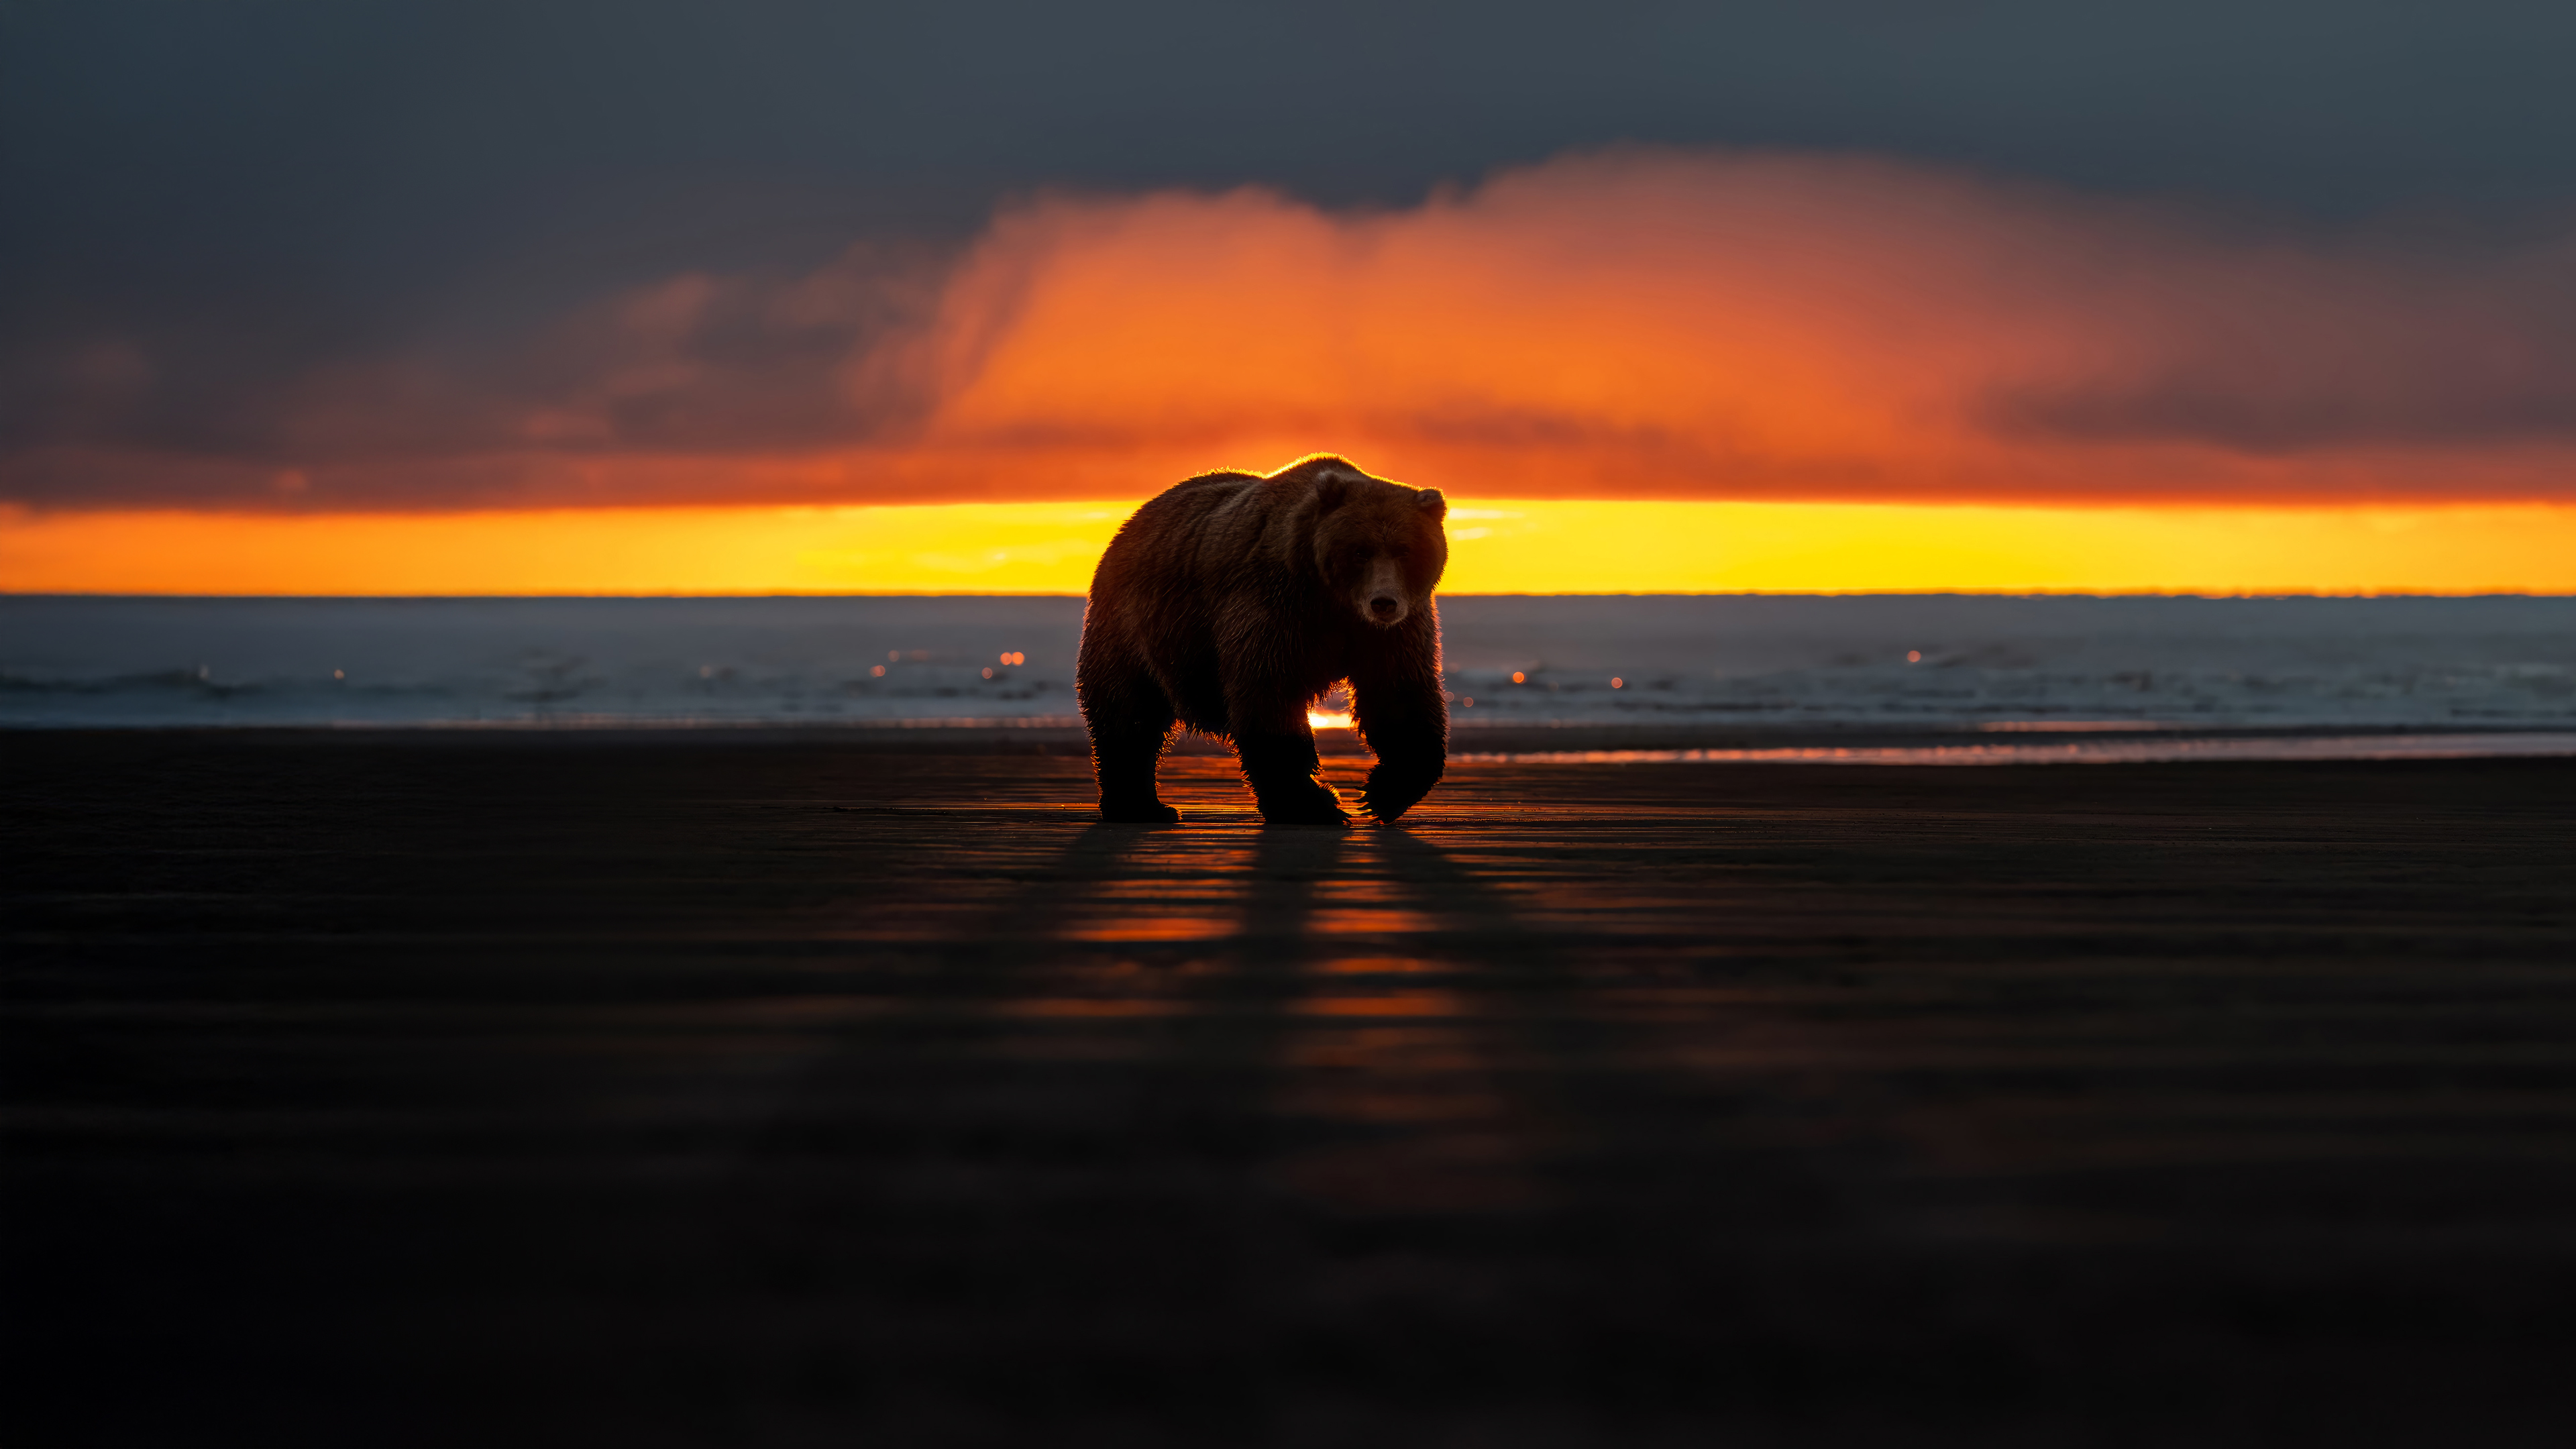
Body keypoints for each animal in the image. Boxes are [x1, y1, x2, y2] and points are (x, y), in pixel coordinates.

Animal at [1076, 454, 1449, 825]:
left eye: (1405, 551)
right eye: (1360, 551)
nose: (1383, 602)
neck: (1333, 601)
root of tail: (1132, 521)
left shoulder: (1391, 631)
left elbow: (1398, 694)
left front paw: (1383, 793)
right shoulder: (1274, 606)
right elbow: (1270, 693)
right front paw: (1312, 804)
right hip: (1134, 623)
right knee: (1128, 709)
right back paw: (1138, 806)